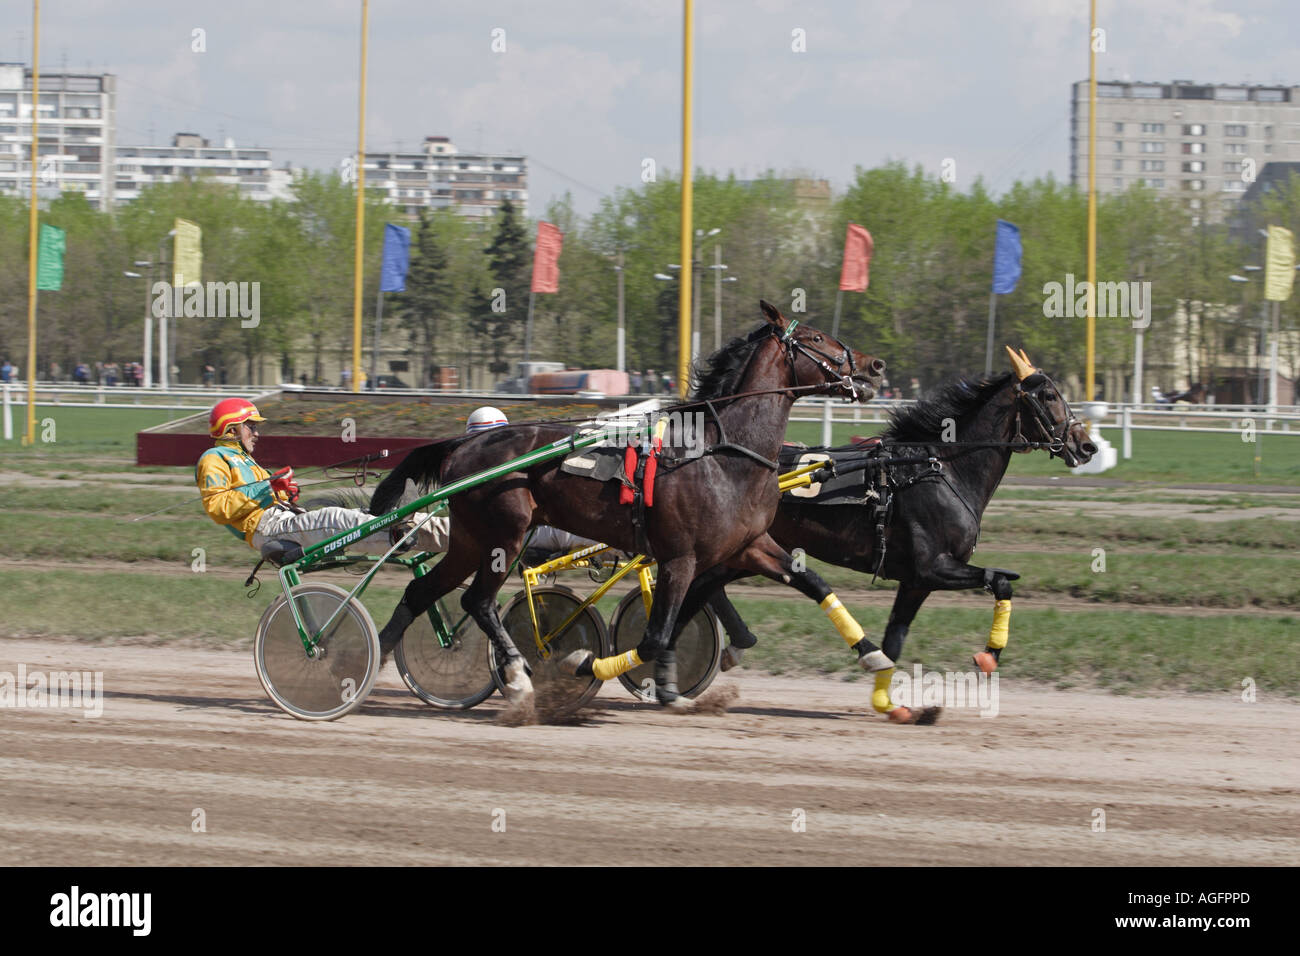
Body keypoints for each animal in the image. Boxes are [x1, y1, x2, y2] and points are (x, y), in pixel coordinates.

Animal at [368, 301, 886, 714]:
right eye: (815, 338)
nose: (875, 365)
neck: (723, 453)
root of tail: (462, 446)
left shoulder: (750, 545)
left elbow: (812, 581)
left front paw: (875, 657)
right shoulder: (680, 558)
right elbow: (654, 638)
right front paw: (582, 665)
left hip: (470, 540)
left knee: (421, 592)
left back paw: (370, 660)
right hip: (503, 536)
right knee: (477, 601)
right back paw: (515, 676)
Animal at [672, 347, 1096, 721]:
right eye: (1049, 395)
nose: (1086, 445)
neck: (937, 468)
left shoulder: (916, 581)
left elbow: (896, 639)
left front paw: (892, 705)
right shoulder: (934, 567)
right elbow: (1001, 582)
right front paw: (988, 656)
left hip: (749, 549)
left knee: (708, 585)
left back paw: (722, 647)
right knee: (701, 583)